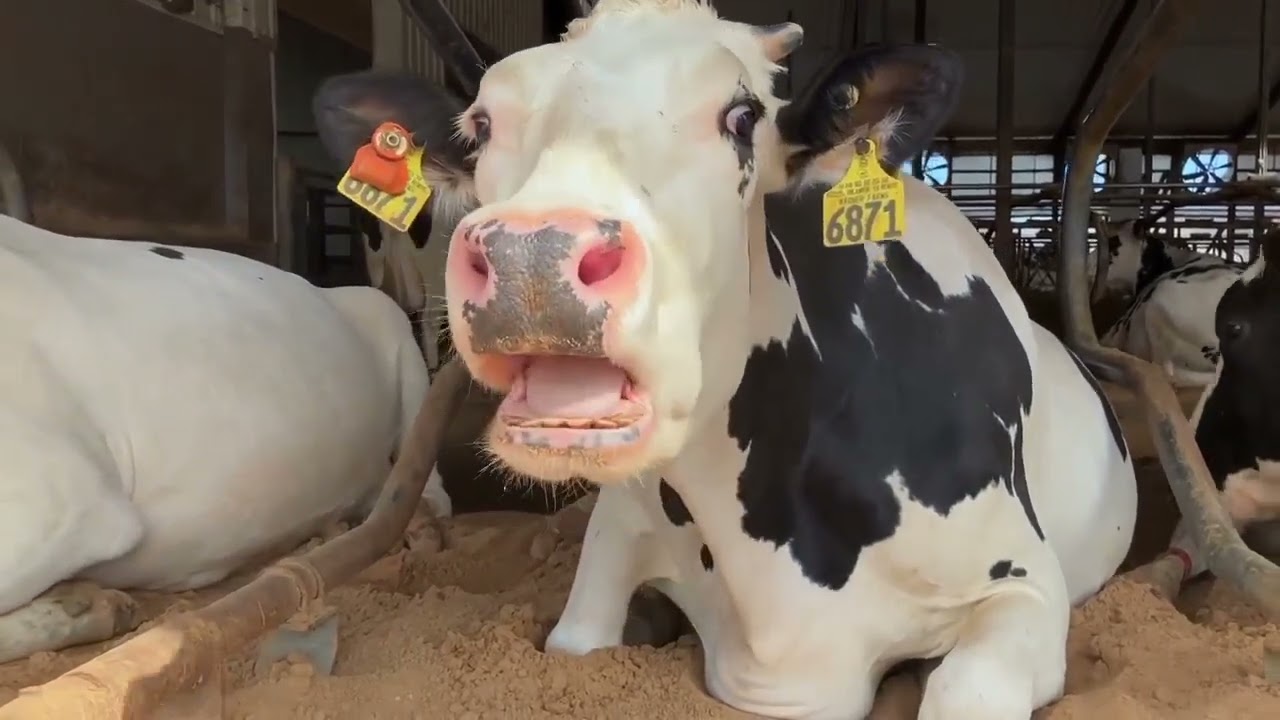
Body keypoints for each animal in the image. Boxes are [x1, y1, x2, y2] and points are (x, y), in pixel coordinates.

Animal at [313, 2, 1137, 718]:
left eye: (741, 117)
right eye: (482, 123)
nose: (533, 258)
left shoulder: (1022, 583)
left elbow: (967, 687)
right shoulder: (617, 540)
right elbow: (577, 646)